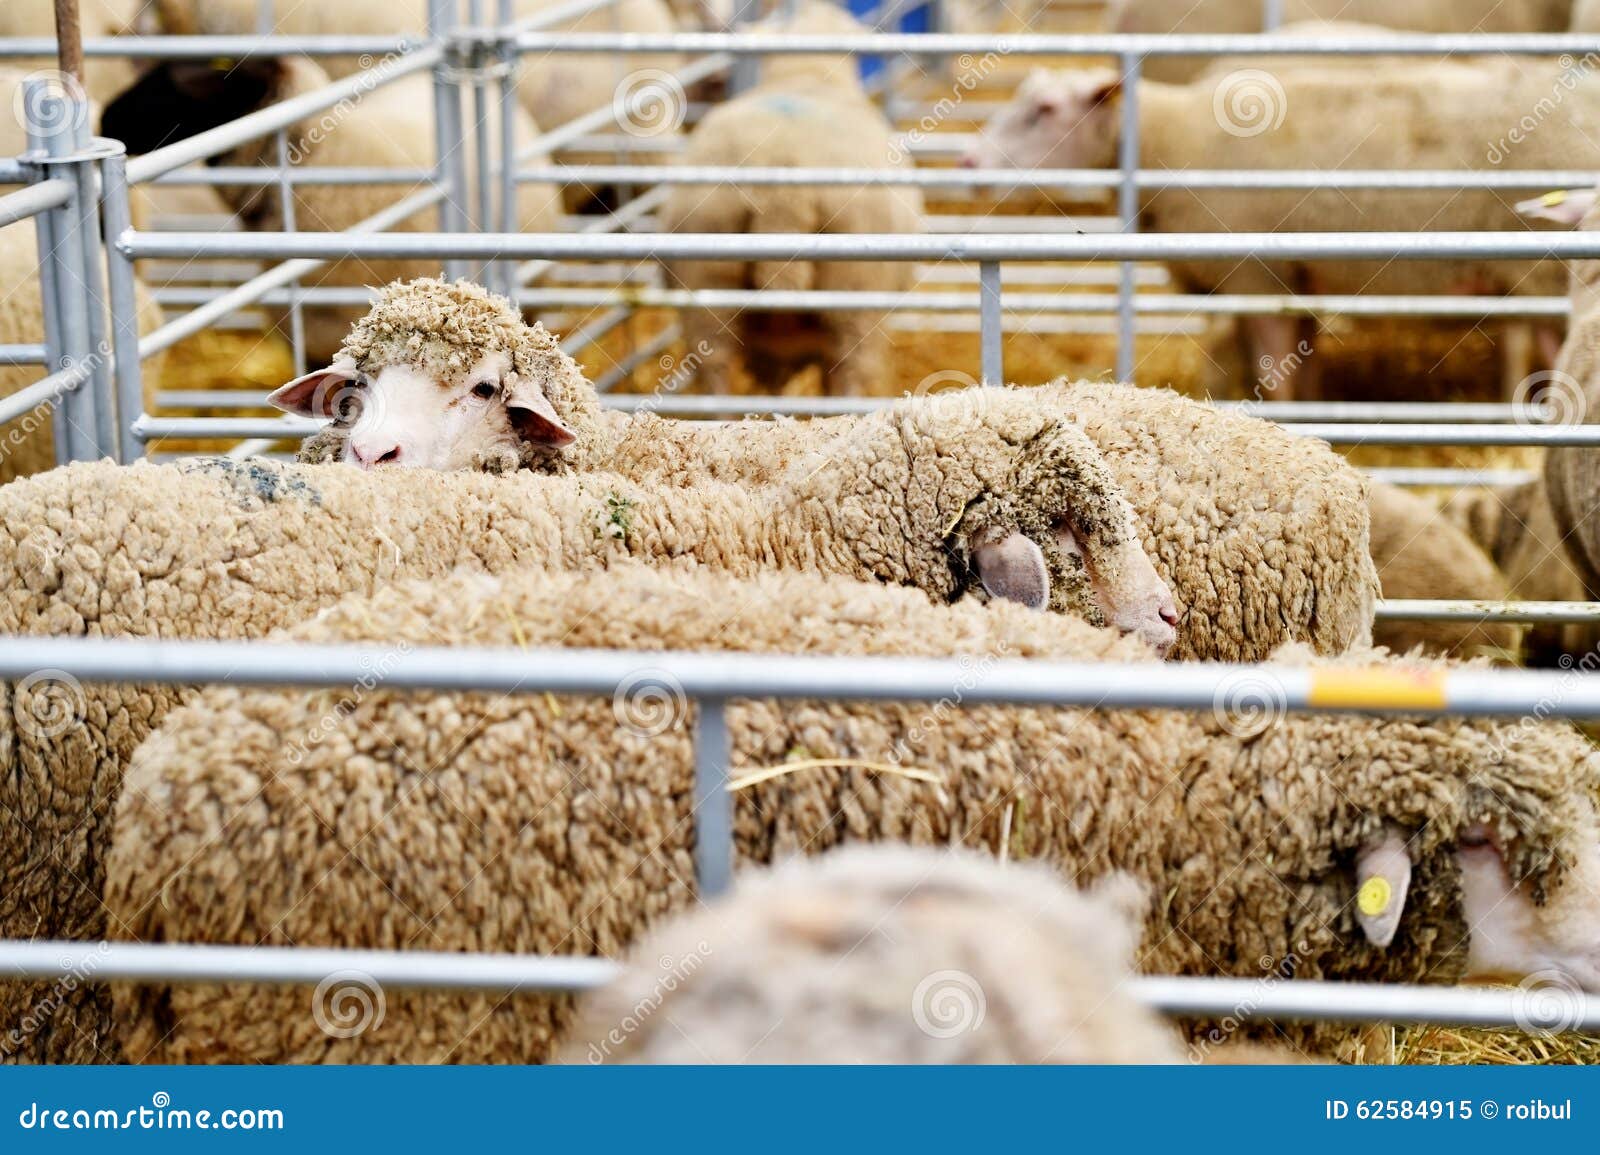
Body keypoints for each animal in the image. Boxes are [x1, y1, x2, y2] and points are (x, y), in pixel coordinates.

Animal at [655, 6, 919, 395]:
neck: (805, 72)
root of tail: (783, 189)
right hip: (855, 302)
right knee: (850, 377)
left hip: (706, 286)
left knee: (716, 371)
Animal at [960, 39, 1583, 398]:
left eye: (1045, 110)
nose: (968, 161)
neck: (1176, 137)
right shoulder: (1291, 277)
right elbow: (1300, 372)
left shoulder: (1256, 277)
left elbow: (1272, 378)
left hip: (1549, 277)